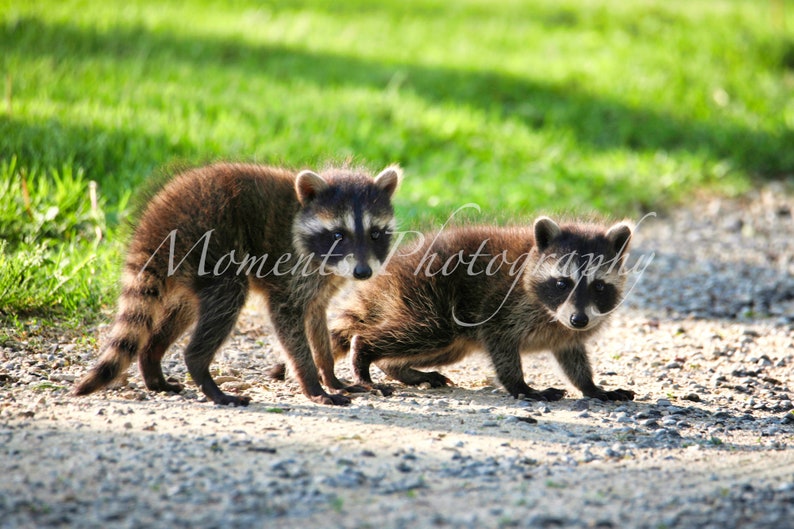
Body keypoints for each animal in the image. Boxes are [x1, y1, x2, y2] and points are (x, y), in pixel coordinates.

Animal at [74, 162, 401, 406]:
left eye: (374, 233)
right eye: (338, 235)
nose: (362, 272)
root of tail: (155, 222)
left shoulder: (320, 285)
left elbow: (317, 320)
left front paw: (330, 374)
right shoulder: (291, 274)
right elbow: (289, 325)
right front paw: (312, 383)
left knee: (183, 312)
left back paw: (153, 363)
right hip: (209, 242)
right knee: (227, 296)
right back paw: (203, 373)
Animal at [330, 216, 636, 401]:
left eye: (599, 286)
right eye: (562, 283)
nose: (579, 320)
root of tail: (383, 277)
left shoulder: (566, 331)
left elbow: (572, 355)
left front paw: (590, 386)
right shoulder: (505, 303)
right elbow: (499, 342)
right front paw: (520, 386)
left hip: (450, 336)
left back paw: (396, 367)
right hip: (426, 295)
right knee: (423, 331)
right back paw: (364, 352)